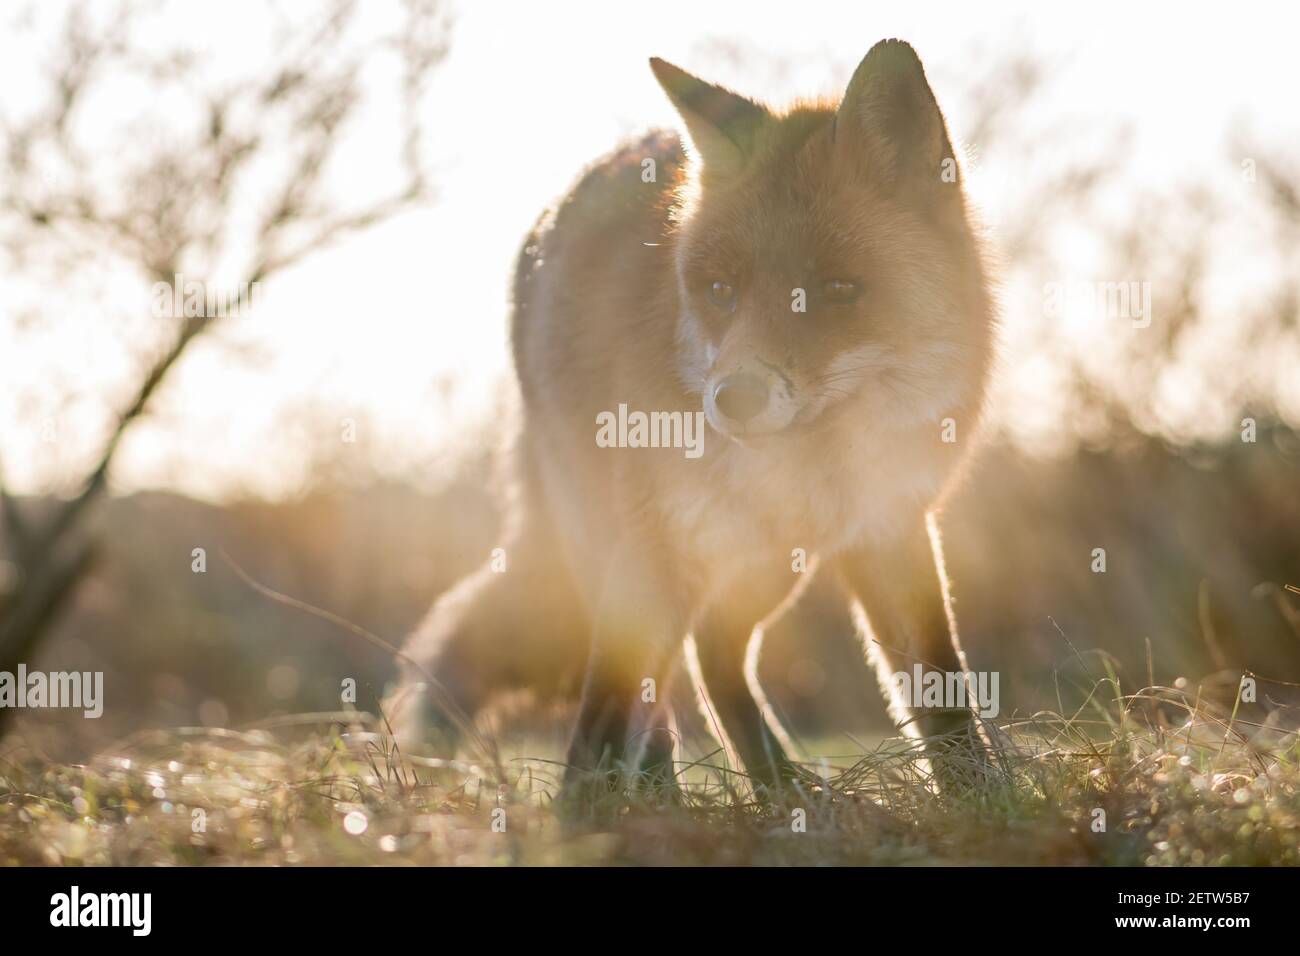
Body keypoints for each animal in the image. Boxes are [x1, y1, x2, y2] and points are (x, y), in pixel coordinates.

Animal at [386, 39, 996, 802]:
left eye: (837, 290)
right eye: (719, 291)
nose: (733, 396)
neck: (814, 466)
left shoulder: (892, 526)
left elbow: (941, 689)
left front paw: (985, 799)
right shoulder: (656, 537)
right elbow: (609, 707)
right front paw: (587, 815)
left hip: (767, 563)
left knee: (714, 651)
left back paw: (777, 787)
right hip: (621, 537)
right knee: (668, 676)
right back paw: (671, 792)